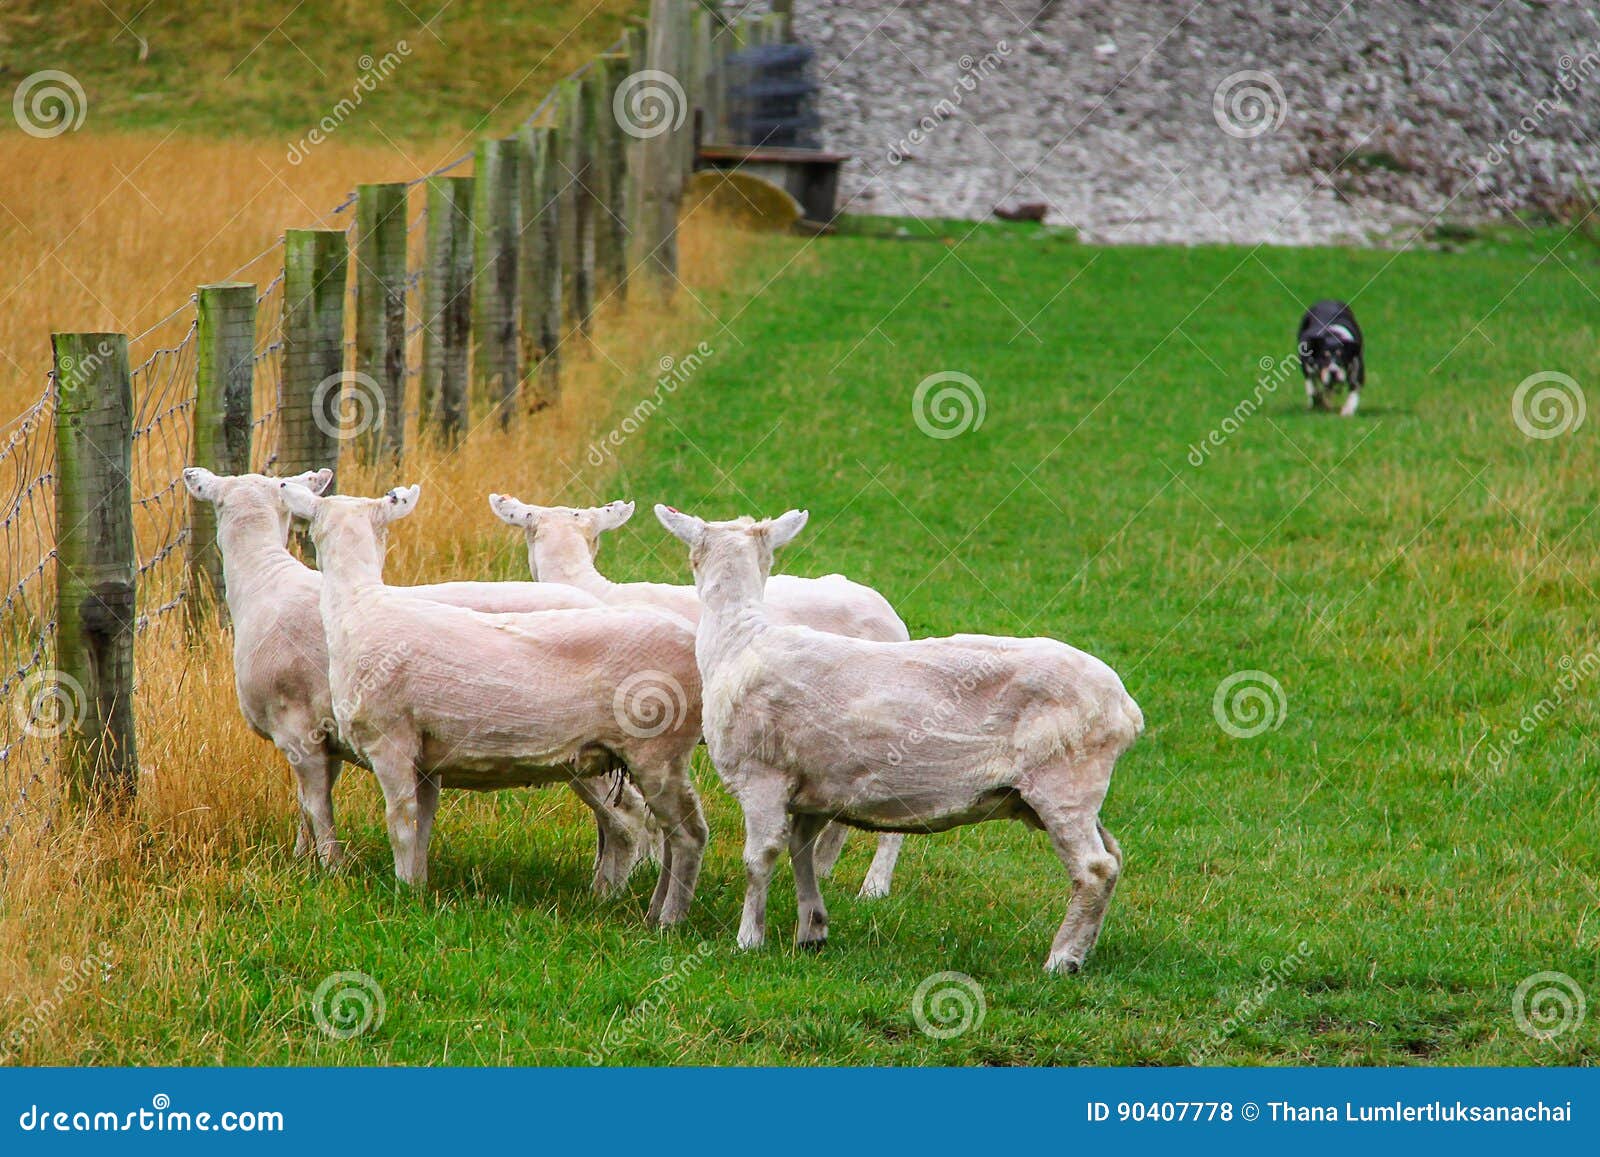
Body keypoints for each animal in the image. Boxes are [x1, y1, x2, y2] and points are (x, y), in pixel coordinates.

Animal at [181, 467, 654, 894]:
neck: (263, 582)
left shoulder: (297, 728)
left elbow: (316, 804)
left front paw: (329, 870)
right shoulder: (324, 736)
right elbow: (307, 803)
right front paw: (303, 859)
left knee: (629, 815)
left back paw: (612, 887)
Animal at [277, 480, 708, 923]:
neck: (357, 606)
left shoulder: (390, 741)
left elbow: (401, 823)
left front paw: (401, 894)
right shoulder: (426, 758)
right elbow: (423, 826)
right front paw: (418, 889)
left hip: (657, 750)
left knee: (689, 834)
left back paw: (668, 919)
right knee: (671, 832)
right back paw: (652, 909)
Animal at [656, 505, 1143, 973]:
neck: (738, 639)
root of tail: (1127, 709)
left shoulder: (763, 777)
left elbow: (761, 858)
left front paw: (748, 940)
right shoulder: (814, 788)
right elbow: (802, 852)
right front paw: (812, 930)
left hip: (1064, 784)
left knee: (1094, 868)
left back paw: (1062, 959)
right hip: (1066, 794)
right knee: (1114, 858)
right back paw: (1085, 947)